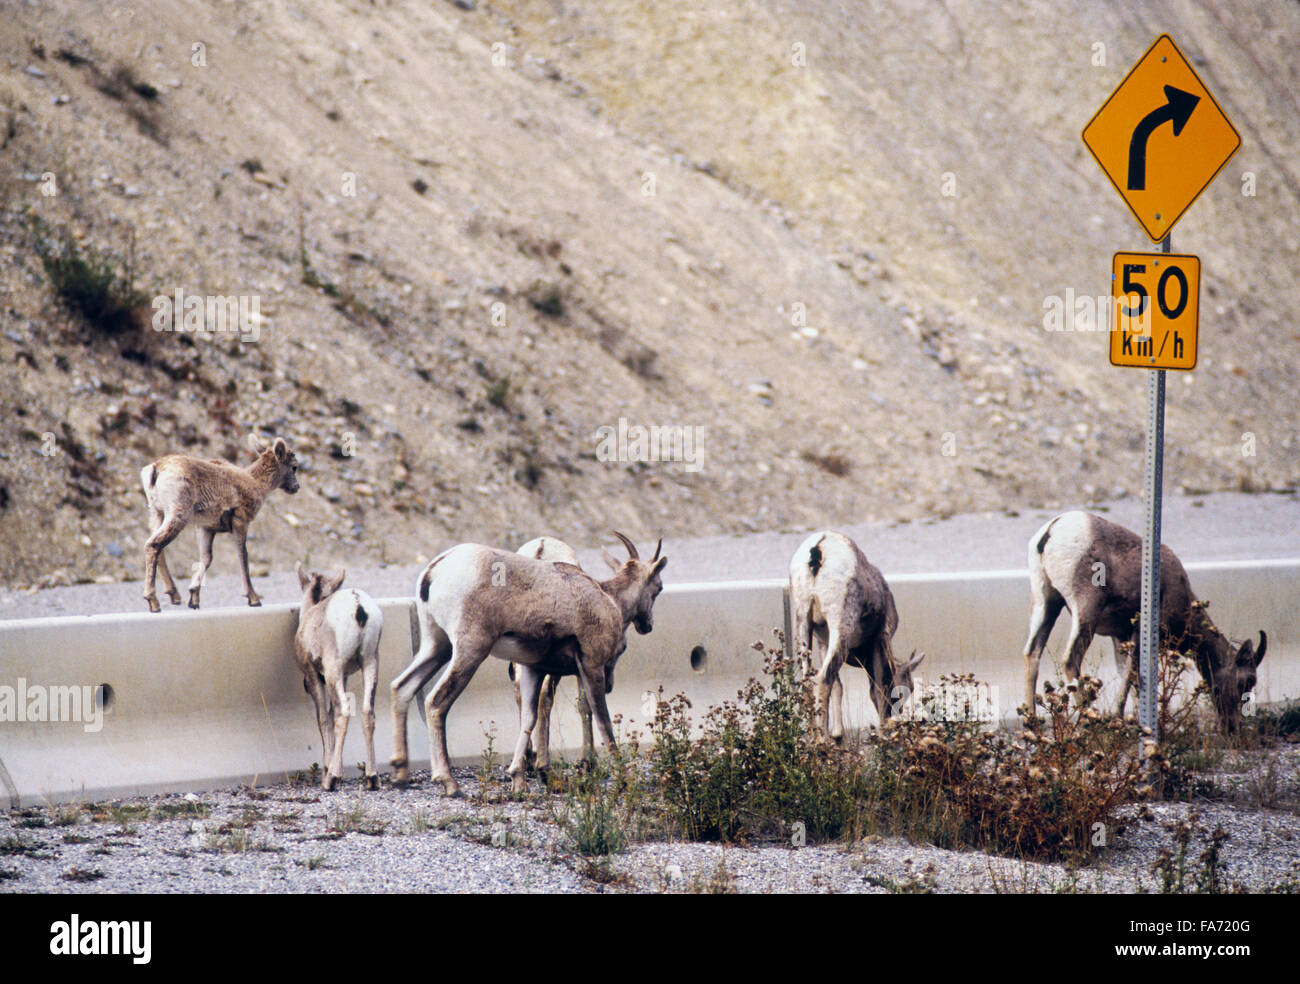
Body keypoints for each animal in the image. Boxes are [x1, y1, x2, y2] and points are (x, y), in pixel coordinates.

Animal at [140, 433, 300, 612]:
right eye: (294, 467)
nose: (296, 487)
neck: (257, 484)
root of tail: (155, 469)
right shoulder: (240, 521)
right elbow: (243, 555)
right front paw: (253, 599)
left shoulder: (205, 528)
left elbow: (206, 558)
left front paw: (194, 600)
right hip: (177, 515)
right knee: (153, 545)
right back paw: (153, 601)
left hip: (157, 513)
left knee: (158, 548)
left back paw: (174, 595)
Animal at [293, 563, 383, 790]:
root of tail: (358, 607)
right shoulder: (345, 676)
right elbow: (331, 715)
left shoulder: (315, 675)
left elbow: (324, 718)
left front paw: (329, 770)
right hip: (370, 662)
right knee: (368, 712)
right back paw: (372, 777)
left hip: (334, 669)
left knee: (344, 712)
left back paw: (331, 779)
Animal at [390, 532, 667, 796]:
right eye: (659, 587)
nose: (648, 625)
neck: (607, 599)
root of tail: (434, 570)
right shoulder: (590, 667)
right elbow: (601, 719)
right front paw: (619, 777)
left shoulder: (535, 669)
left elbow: (528, 718)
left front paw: (519, 780)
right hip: (469, 652)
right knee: (436, 703)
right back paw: (449, 783)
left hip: (437, 646)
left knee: (402, 686)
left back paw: (401, 774)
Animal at [789, 531, 923, 737]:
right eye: (907, 688)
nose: (896, 718)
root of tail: (818, 551)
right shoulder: (880, 639)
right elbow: (880, 686)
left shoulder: (823, 642)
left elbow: (839, 687)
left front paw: (838, 733)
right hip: (840, 627)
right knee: (822, 678)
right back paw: (822, 739)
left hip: (803, 624)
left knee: (808, 680)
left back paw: (814, 735)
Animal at [1021, 510, 1266, 732]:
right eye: (1245, 681)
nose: (1232, 727)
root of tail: (1052, 531)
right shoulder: (1139, 635)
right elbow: (1131, 676)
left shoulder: (1120, 638)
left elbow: (1129, 677)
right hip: (1085, 613)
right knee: (1071, 659)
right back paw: (1088, 721)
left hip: (1046, 604)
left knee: (1032, 653)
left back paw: (1032, 724)